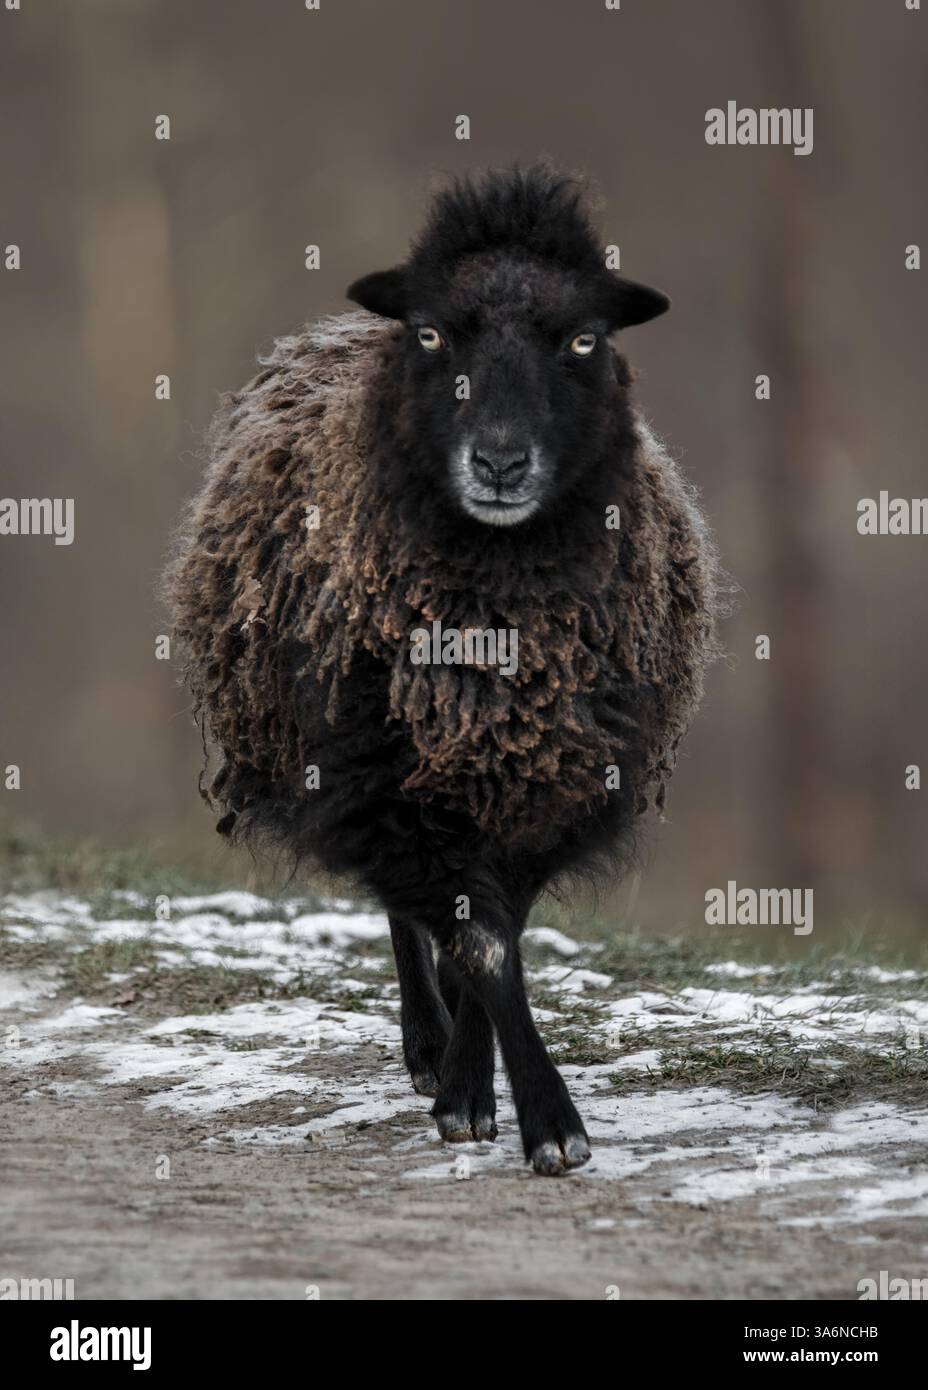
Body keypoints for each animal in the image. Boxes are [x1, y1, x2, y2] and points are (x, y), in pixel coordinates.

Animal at [166, 166, 722, 1175]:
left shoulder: (554, 780)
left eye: (584, 339)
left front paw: (490, 1089)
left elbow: (496, 934)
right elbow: (479, 944)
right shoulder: (379, 779)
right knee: (408, 911)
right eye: (430, 333)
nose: (500, 461)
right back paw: (429, 1047)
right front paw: (530, 1115)